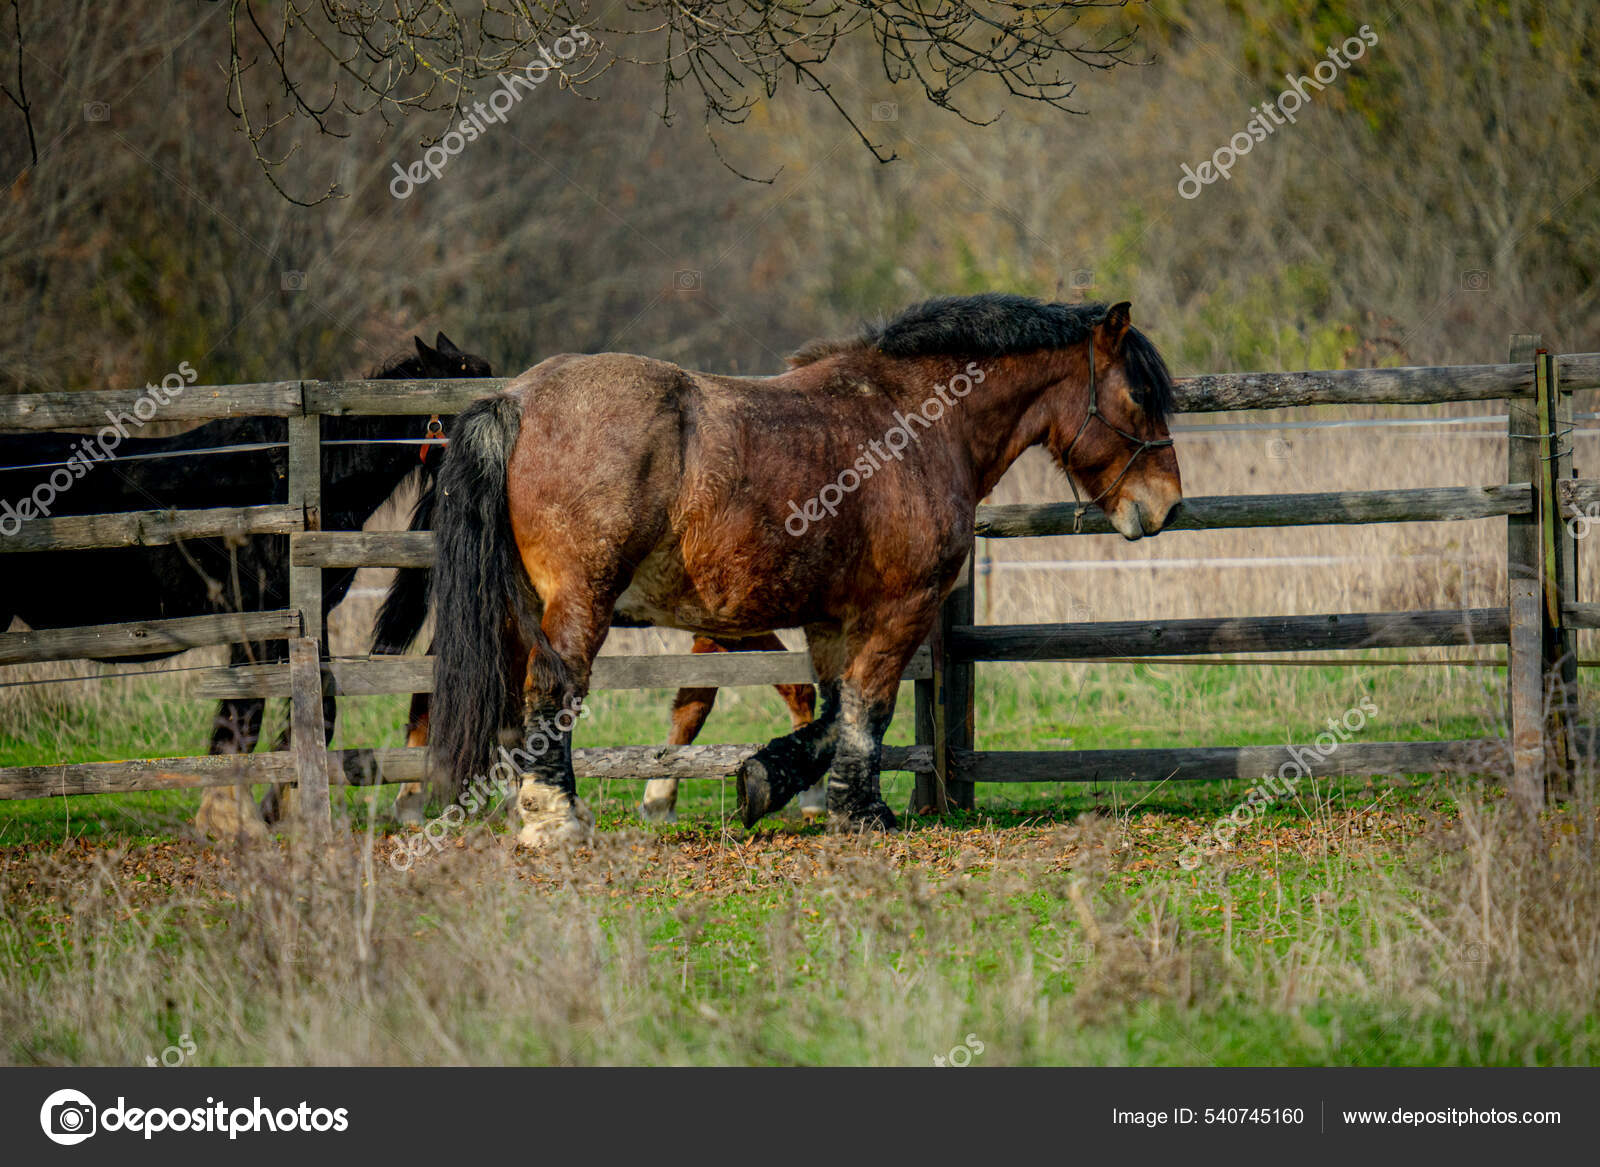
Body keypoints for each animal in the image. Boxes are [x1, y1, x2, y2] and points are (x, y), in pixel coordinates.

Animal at [0, 333, 491, 841]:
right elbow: (242, 718)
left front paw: (279, 807)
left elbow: (316, 711)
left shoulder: (307, 617)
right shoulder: (256, 624)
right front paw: (233, 819)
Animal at [425, 294, 1183, 846]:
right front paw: (861, 811)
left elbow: (830, 709)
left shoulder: (831, 619)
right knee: (551, 690)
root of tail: (518, 399)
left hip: (524, 606)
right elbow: (869, 706)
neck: (917, 422)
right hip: (581, 602)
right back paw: (557, 818)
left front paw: (769, 778)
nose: (1167, 504)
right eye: (1140, 395)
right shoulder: (904, 607)